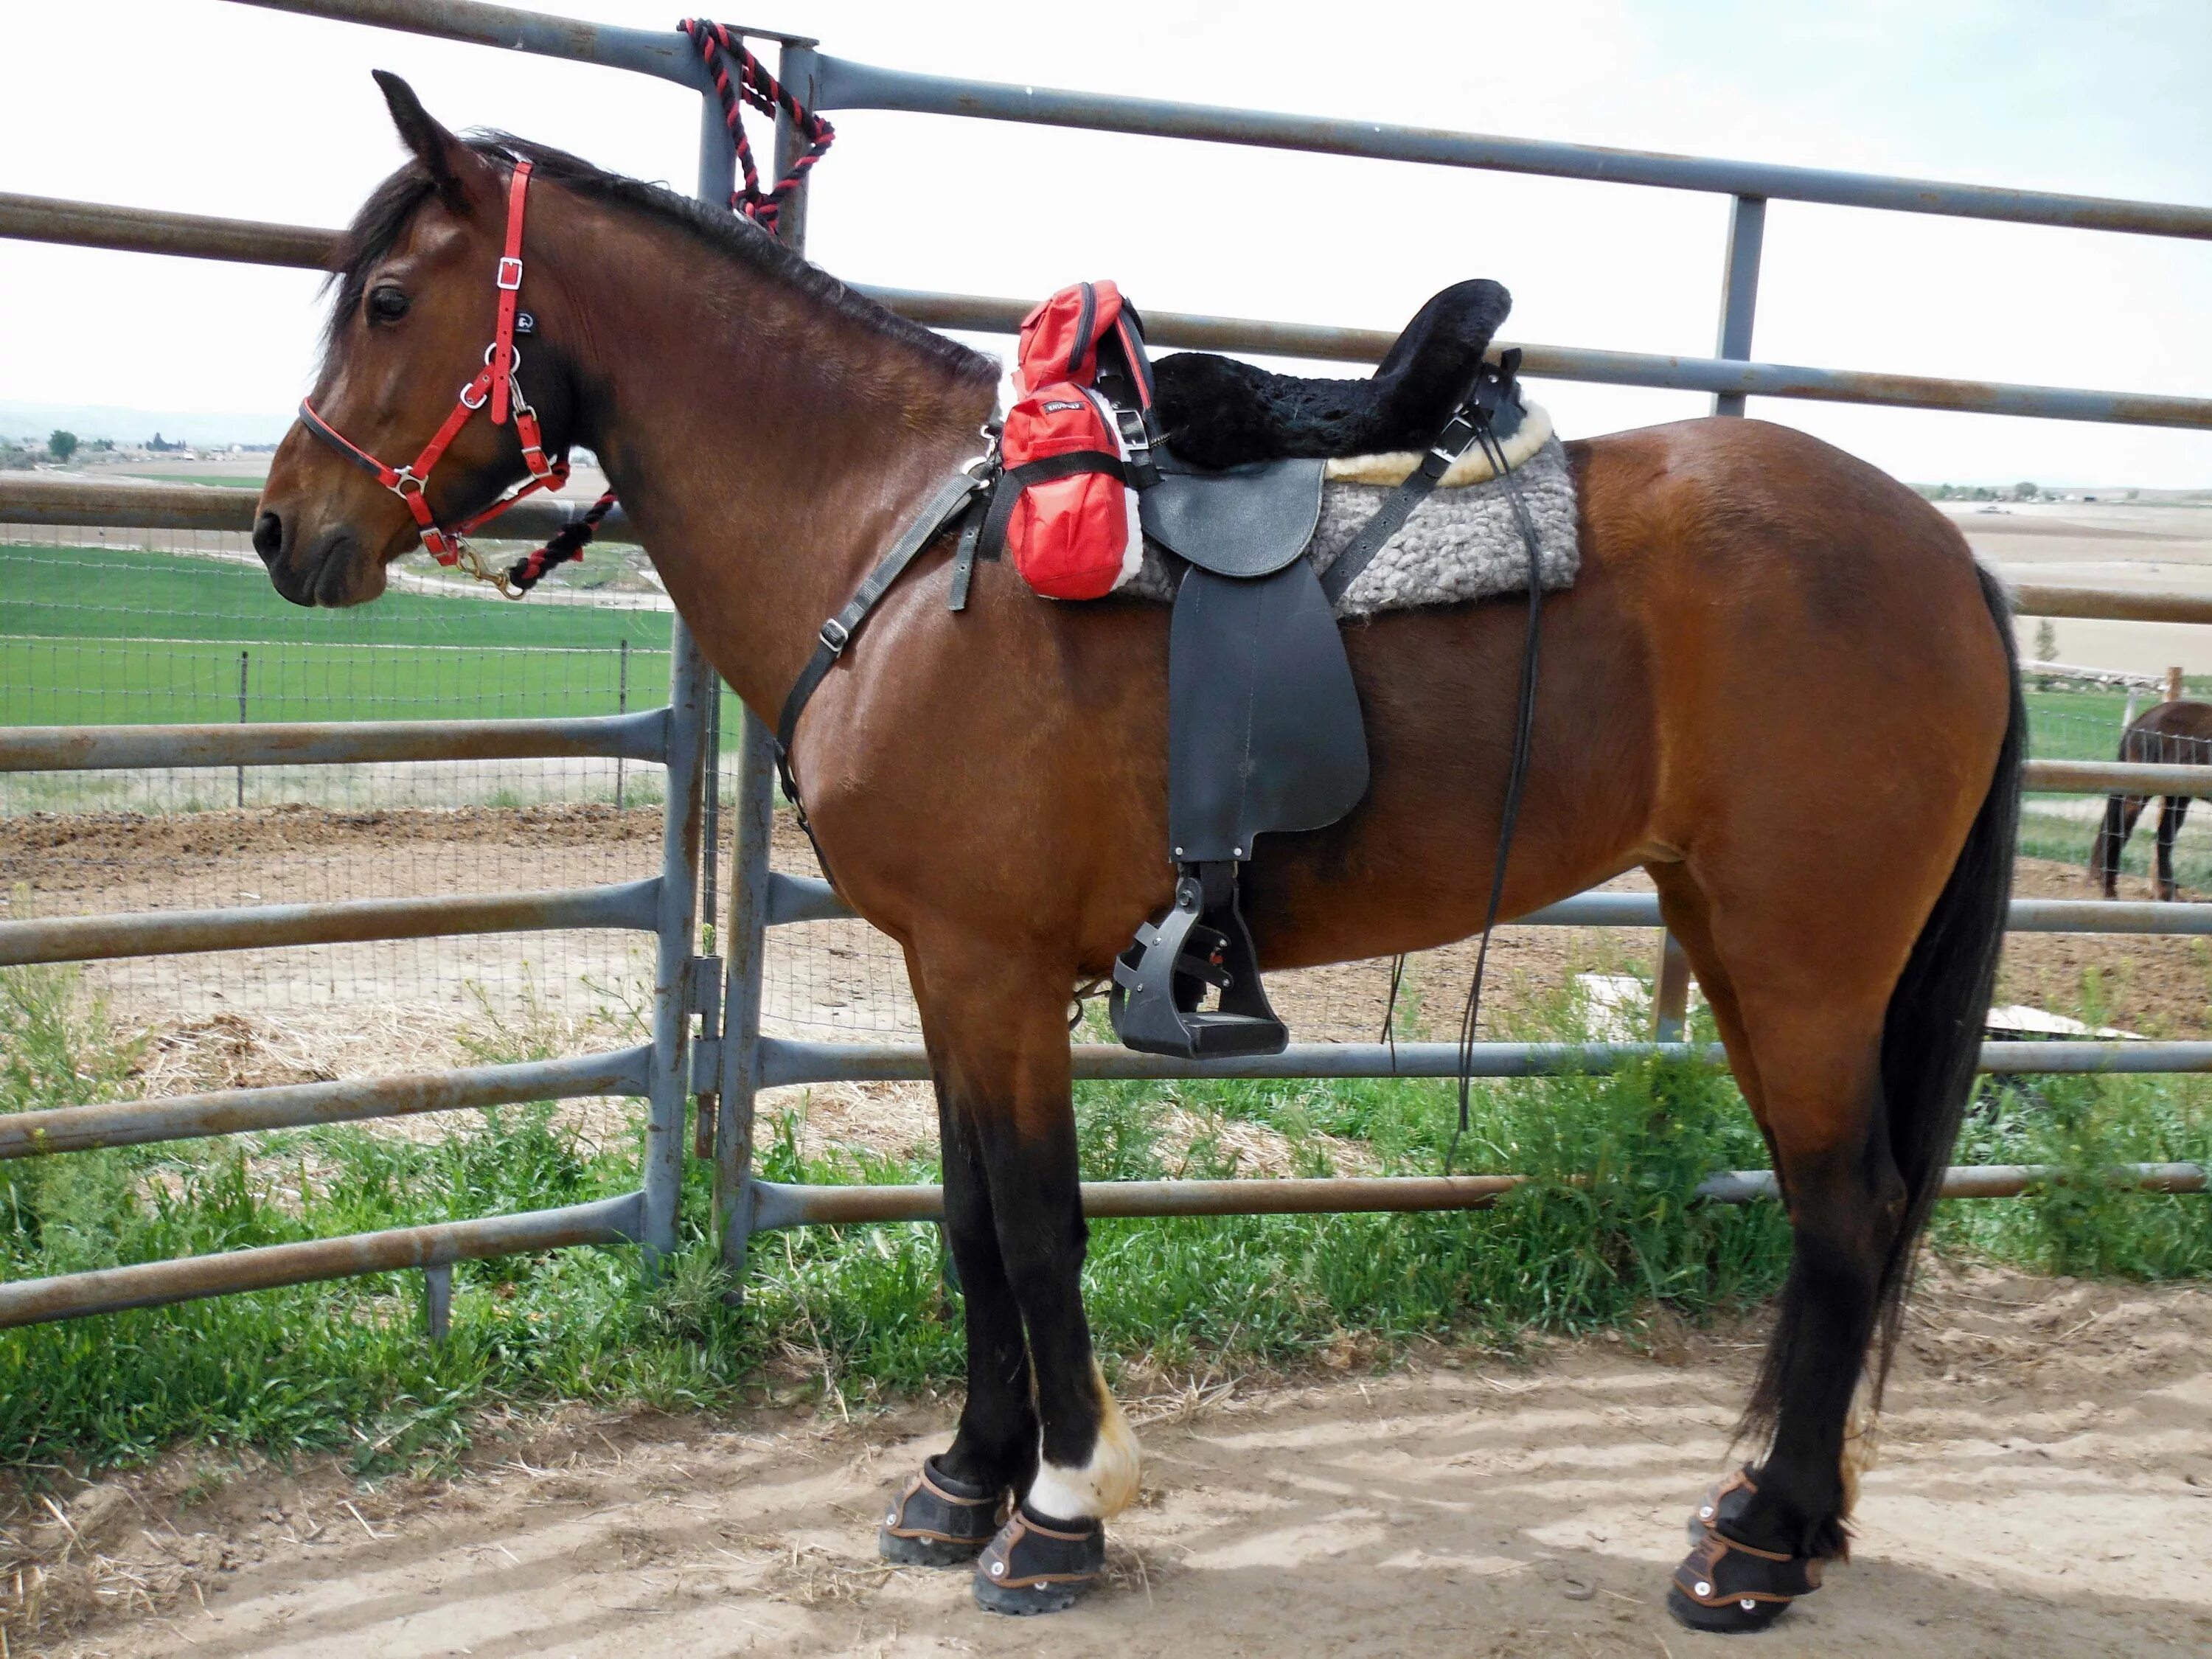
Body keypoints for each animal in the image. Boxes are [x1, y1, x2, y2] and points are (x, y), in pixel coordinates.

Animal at [246, 81, 2026, 1637]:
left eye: (389, 300)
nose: (281, 530)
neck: (896, 534)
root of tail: (1948, 556)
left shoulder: (992, 970)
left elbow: (1038, 1228)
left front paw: (1057, 1512)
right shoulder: (950, 973)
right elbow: (970, 1222)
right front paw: (963, 1478)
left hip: (1803, 965)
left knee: (1849, 1210)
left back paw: (1760, 1548)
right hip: (1739, 941)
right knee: (1845, 1213)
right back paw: (1781, 1516)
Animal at [2088, 703, 2212, 902]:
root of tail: (2138, 724)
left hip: (2176, 795)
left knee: (2163, 838)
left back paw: (2166, 892)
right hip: (2140, 792)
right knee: (2119, 830)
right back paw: (2109, 890)